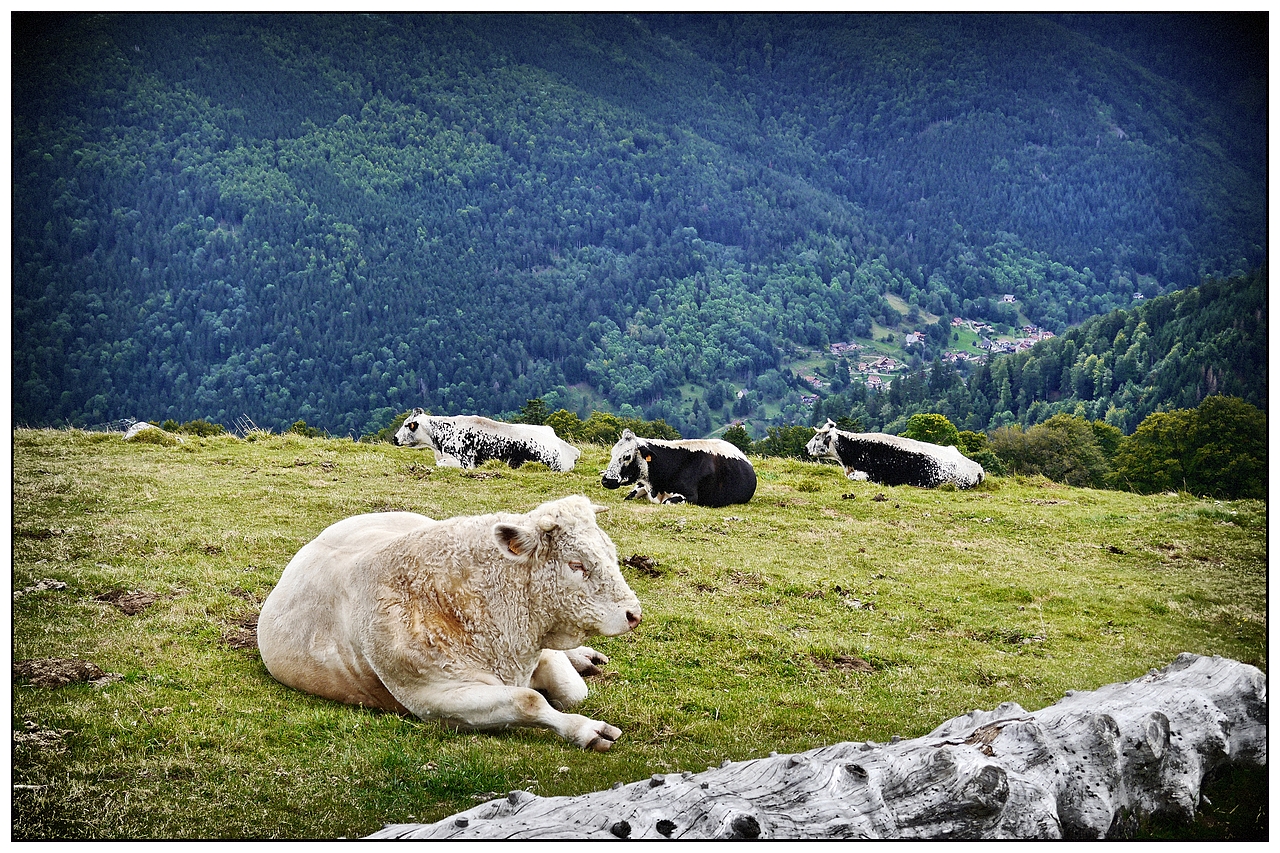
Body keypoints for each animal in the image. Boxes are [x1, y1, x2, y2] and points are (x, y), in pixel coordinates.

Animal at [257, 495, 642, 751]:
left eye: (611, 553)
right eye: (576, 564)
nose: (634, 613)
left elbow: (572, 690)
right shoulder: (432, 697)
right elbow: (529, 701)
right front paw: (588, 730)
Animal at [601, 429, 757, 507]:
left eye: (627, 456)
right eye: (612, 453)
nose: (606, 480)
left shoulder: (690, 496)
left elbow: (667, 502)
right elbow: (629, 496)